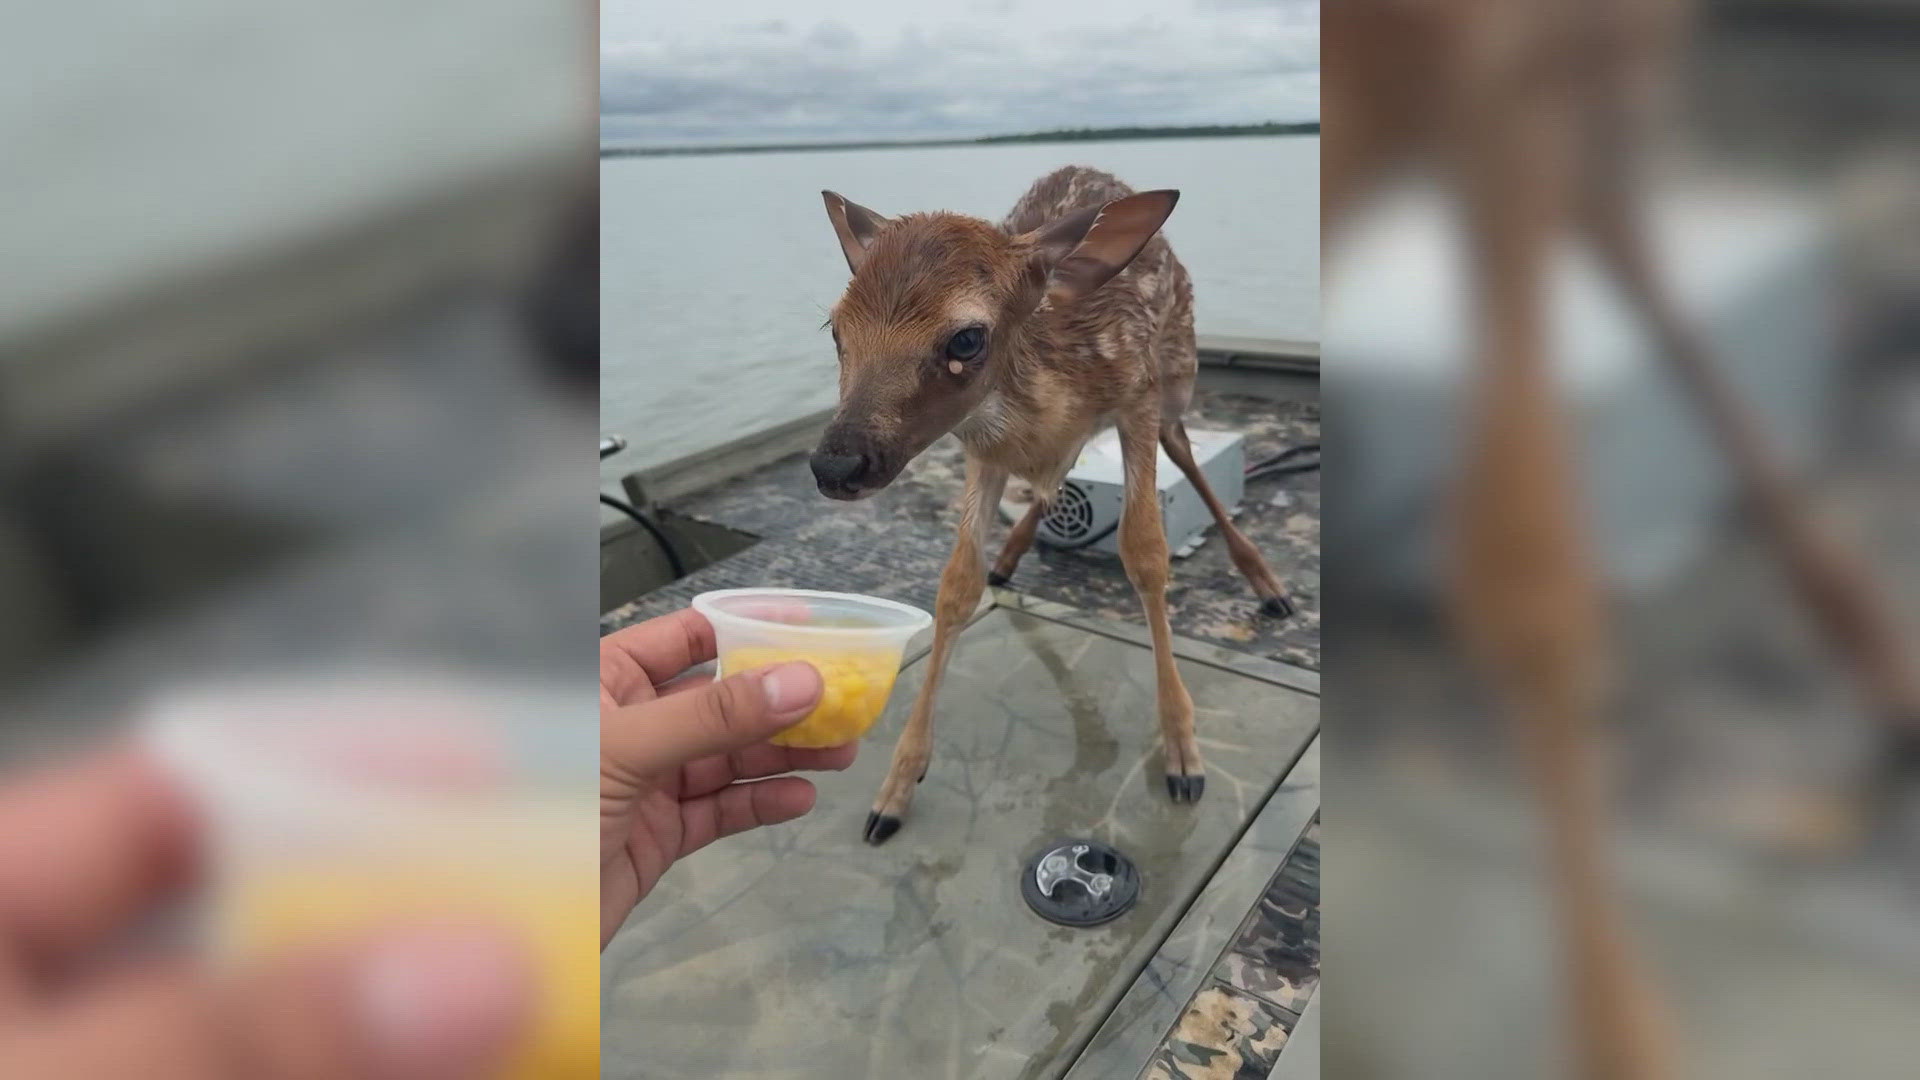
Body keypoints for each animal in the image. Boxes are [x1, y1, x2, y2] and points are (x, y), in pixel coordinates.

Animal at [809, 166, 1297, 846]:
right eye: (835, 329)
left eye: (967, 337)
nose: (835, 465)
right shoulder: (983, 449)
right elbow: (956, 584)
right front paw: (897, 788)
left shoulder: (1137, 395)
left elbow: (1145, 553)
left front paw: (1182, 753)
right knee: (1056, 481)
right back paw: (1010, 557)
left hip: (1178, 371)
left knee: (1184, 451)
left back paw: (1269, 584)